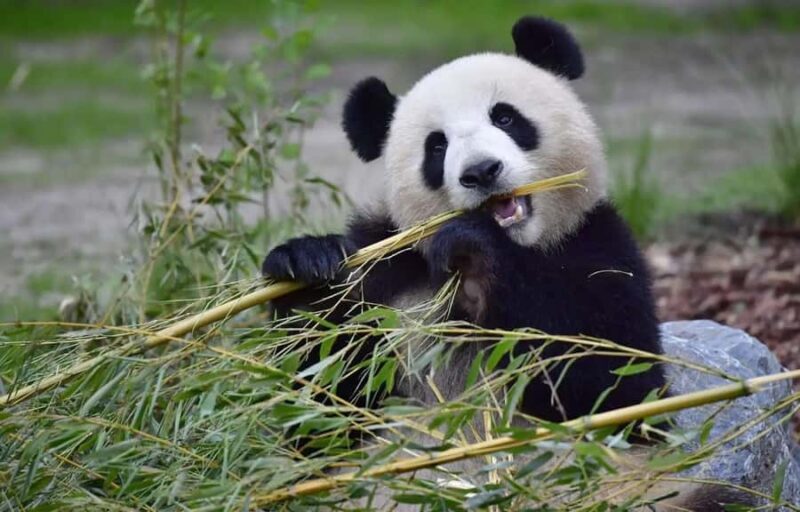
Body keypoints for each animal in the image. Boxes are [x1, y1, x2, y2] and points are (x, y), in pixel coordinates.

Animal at [262, 16, 752, 511]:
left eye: (505, 117)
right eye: (436, 147)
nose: (481, 171)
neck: (523, 246)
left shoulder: (603, 251)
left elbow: (615, 387)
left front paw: (475, 252)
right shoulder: (387, 273)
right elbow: (319, 408)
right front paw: (307, 264)